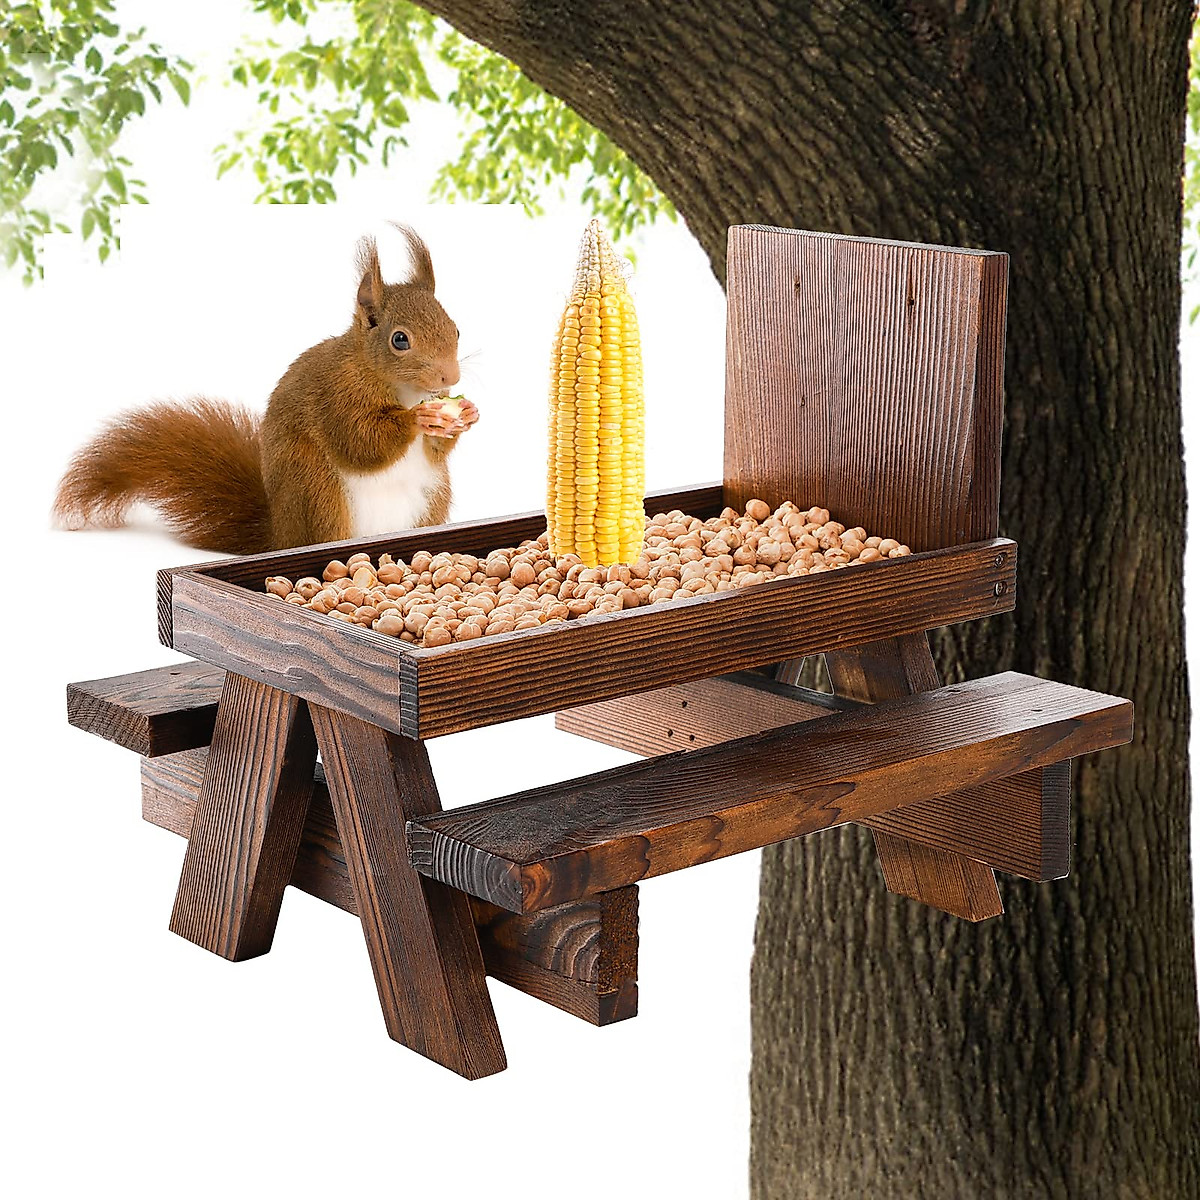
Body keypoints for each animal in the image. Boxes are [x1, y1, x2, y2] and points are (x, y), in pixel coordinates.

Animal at [53, 225, 479, 555]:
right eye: (400, 340)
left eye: (456, 329)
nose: (450, 379)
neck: (400, 387)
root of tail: (278, 537)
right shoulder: (336, 394)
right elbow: (359, 441)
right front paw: (417, 418)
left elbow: (434, 451)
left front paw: (466, 415)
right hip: (316, 493)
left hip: (429, 501)